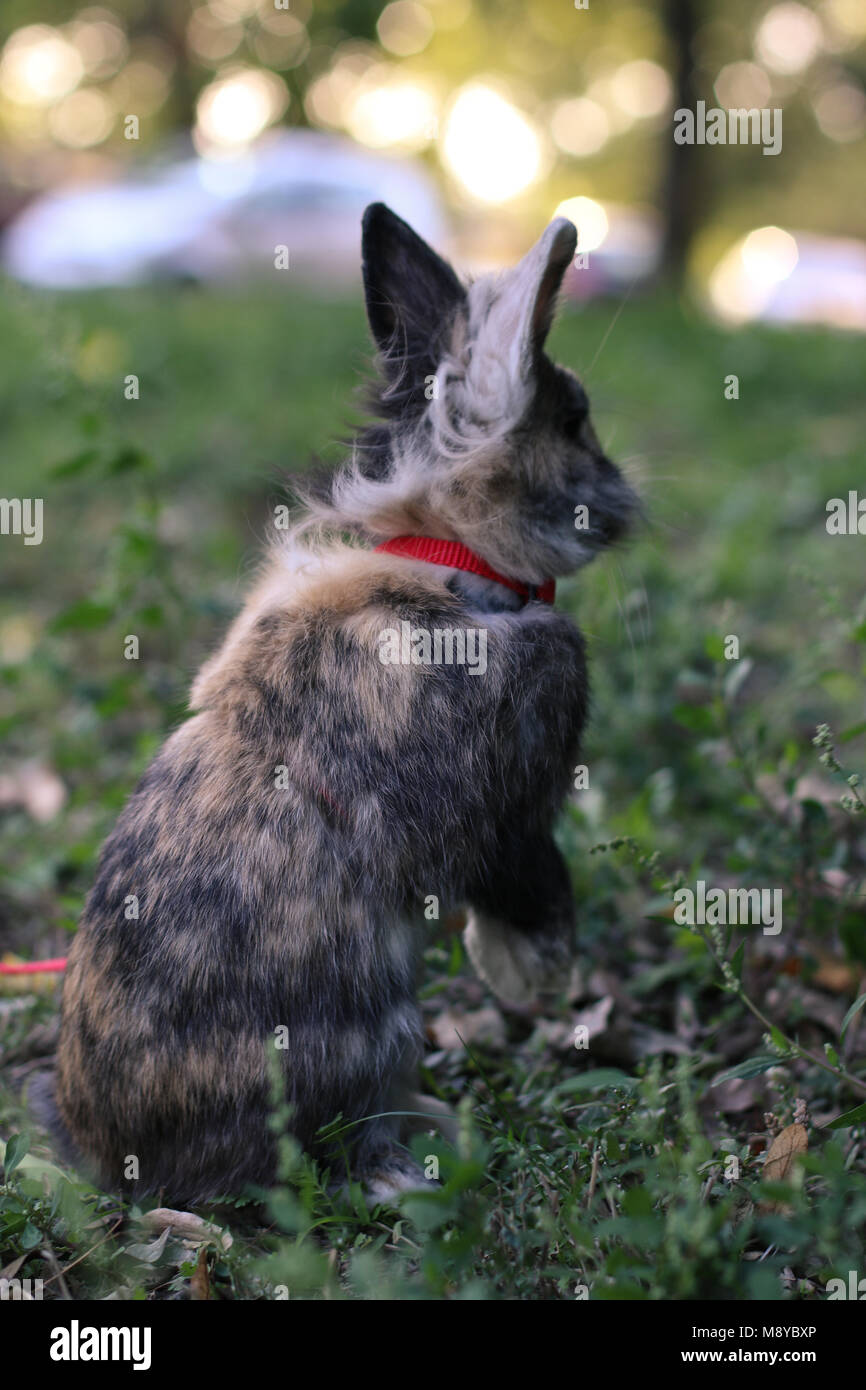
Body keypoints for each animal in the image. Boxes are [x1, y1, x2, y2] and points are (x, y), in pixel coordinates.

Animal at [33, 203, 637, 1205]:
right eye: (575, 421)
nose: (627, 503)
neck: (445, 552)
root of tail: (124, 1165)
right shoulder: (512, 808)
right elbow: (527, 883)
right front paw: (535, 973)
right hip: (374, 1028)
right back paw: (428, 1156)